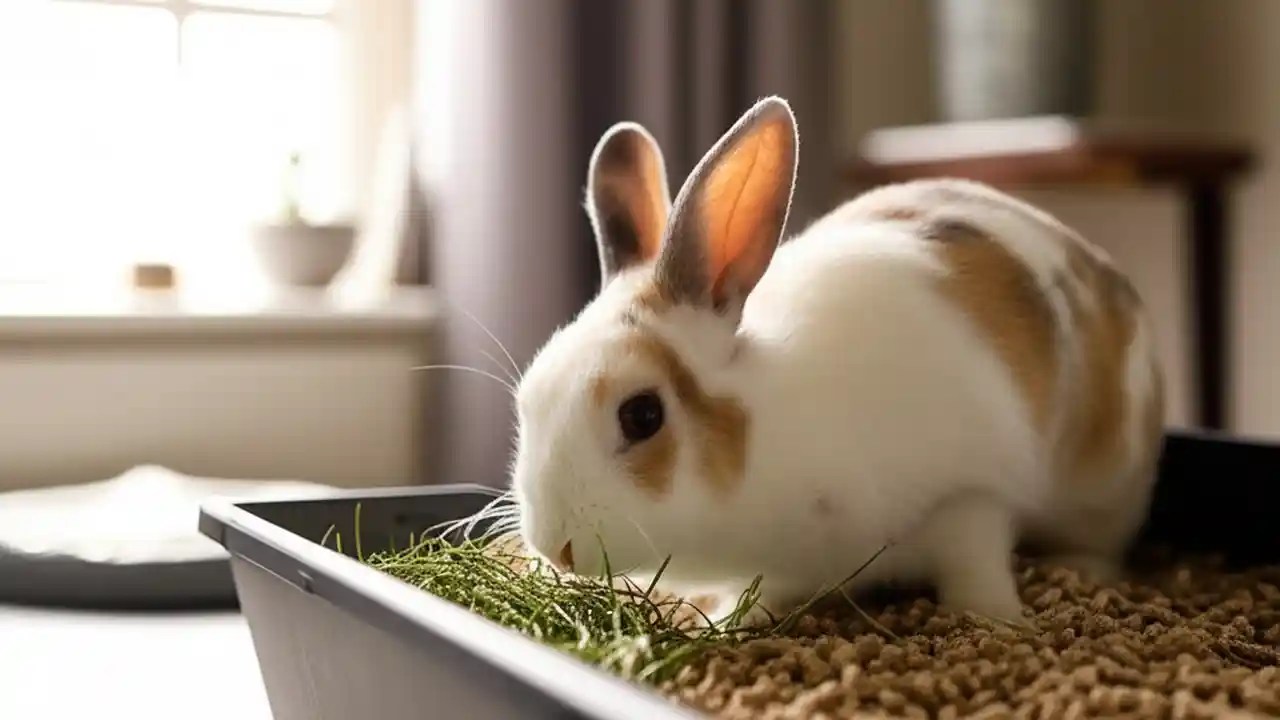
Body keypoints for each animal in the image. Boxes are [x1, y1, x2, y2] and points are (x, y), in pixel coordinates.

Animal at [511, 96, 1165, 628]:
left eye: (642, 415)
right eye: (528, 398)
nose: (553, 546)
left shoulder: (970, 497)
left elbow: (974, 563)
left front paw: (997, 620)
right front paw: (723, 620)